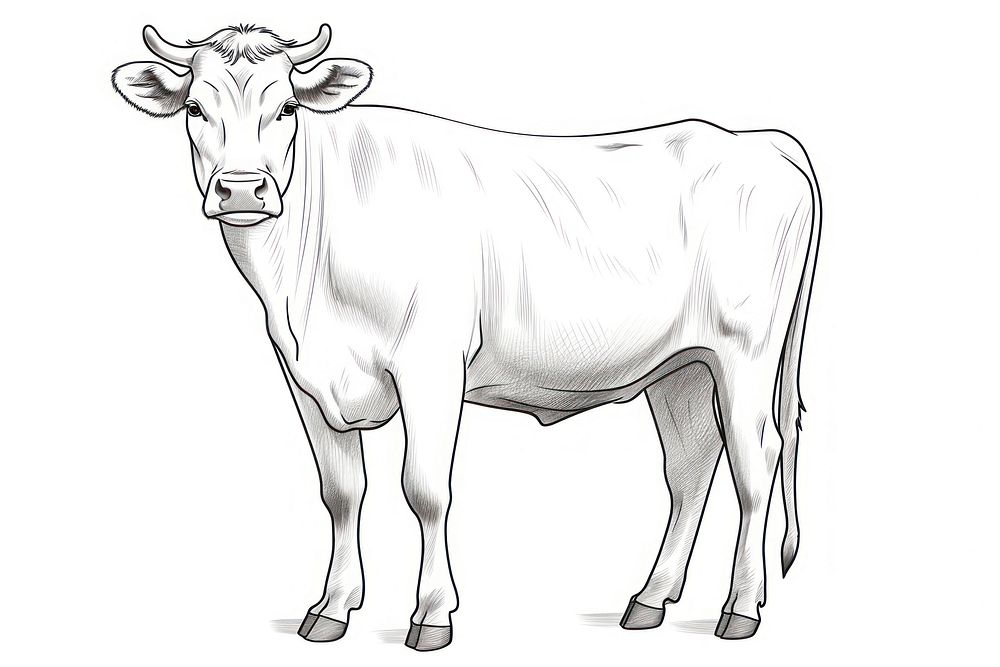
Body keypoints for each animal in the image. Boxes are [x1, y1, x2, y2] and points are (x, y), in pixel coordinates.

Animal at [112, 23, 821, 650]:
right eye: (195, 107)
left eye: (286, 105)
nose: (242, 191)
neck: (304, 285)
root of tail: (757, 140)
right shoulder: (308, 379)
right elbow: (341, 494)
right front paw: (331, 610)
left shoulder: (431, 368)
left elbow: (425, 490)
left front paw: (431, 616)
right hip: (682, 367)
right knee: (691, 465)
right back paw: (649, 601)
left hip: (745, 355)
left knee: (755, 464)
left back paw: (741, 610)